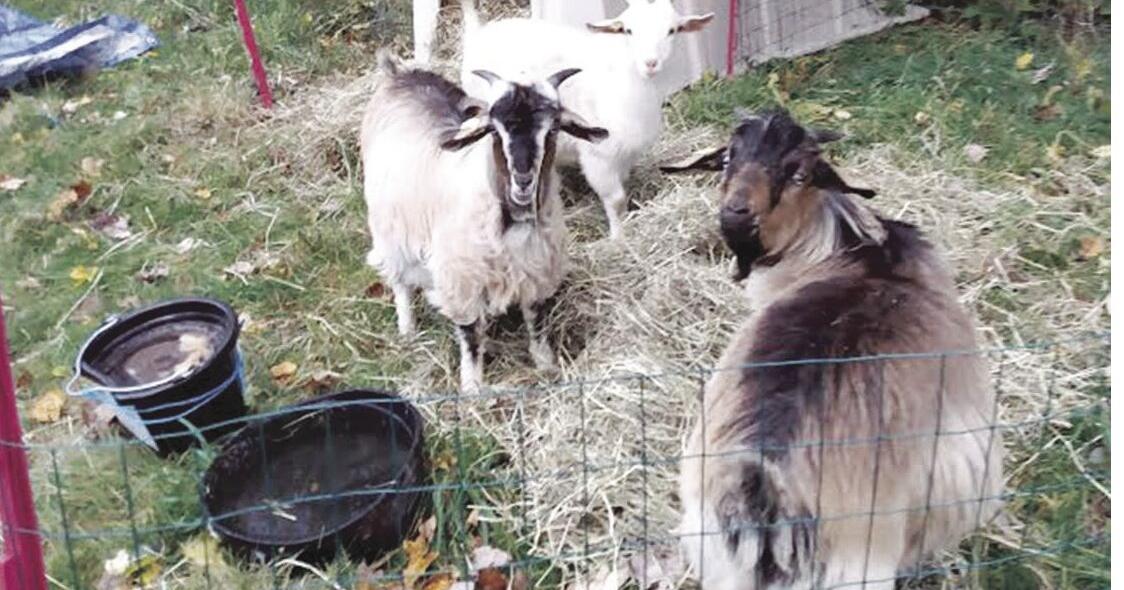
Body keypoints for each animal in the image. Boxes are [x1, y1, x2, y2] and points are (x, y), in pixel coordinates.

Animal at [361, 52, 608, 393]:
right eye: (494, 130)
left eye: (554, 129)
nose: (523, 181)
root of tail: (397, 74)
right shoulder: (462, 279)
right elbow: (471, 336)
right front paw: (472, 386)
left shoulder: (538, 271)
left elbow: (537, 322)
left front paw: (545, 365)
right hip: (390, 230)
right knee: (399, 281)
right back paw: (407, 329)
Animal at [460, 0, 714, 239]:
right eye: (628, 30)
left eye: (672, 30)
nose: (650, 63)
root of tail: (478, 33)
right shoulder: (598, 157)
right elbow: (616, 199)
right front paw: (618, 239)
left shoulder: (625, 156)